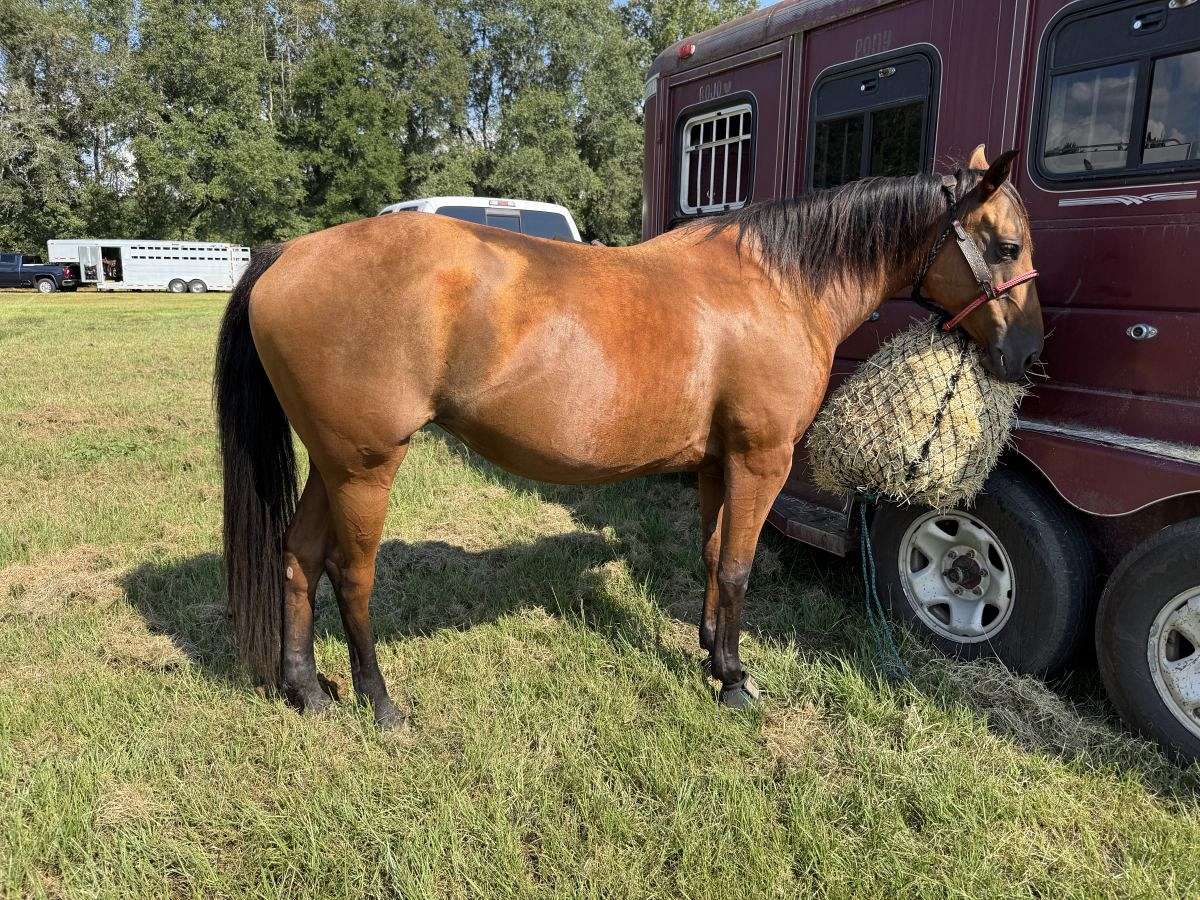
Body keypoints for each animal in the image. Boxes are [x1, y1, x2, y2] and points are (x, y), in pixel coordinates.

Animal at [215, 144, 1042, 727]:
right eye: (1006, 246)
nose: (1028, 356)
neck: (777, 285)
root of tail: (289, 253)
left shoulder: (716, 463)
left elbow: (710, 556)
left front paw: (709, 651)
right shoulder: (760, 461)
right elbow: (738, 569)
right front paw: (735, 680)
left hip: (332, 462)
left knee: (297, 554)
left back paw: (306, 690)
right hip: (366, 466)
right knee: (350, 573)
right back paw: (380, 702)